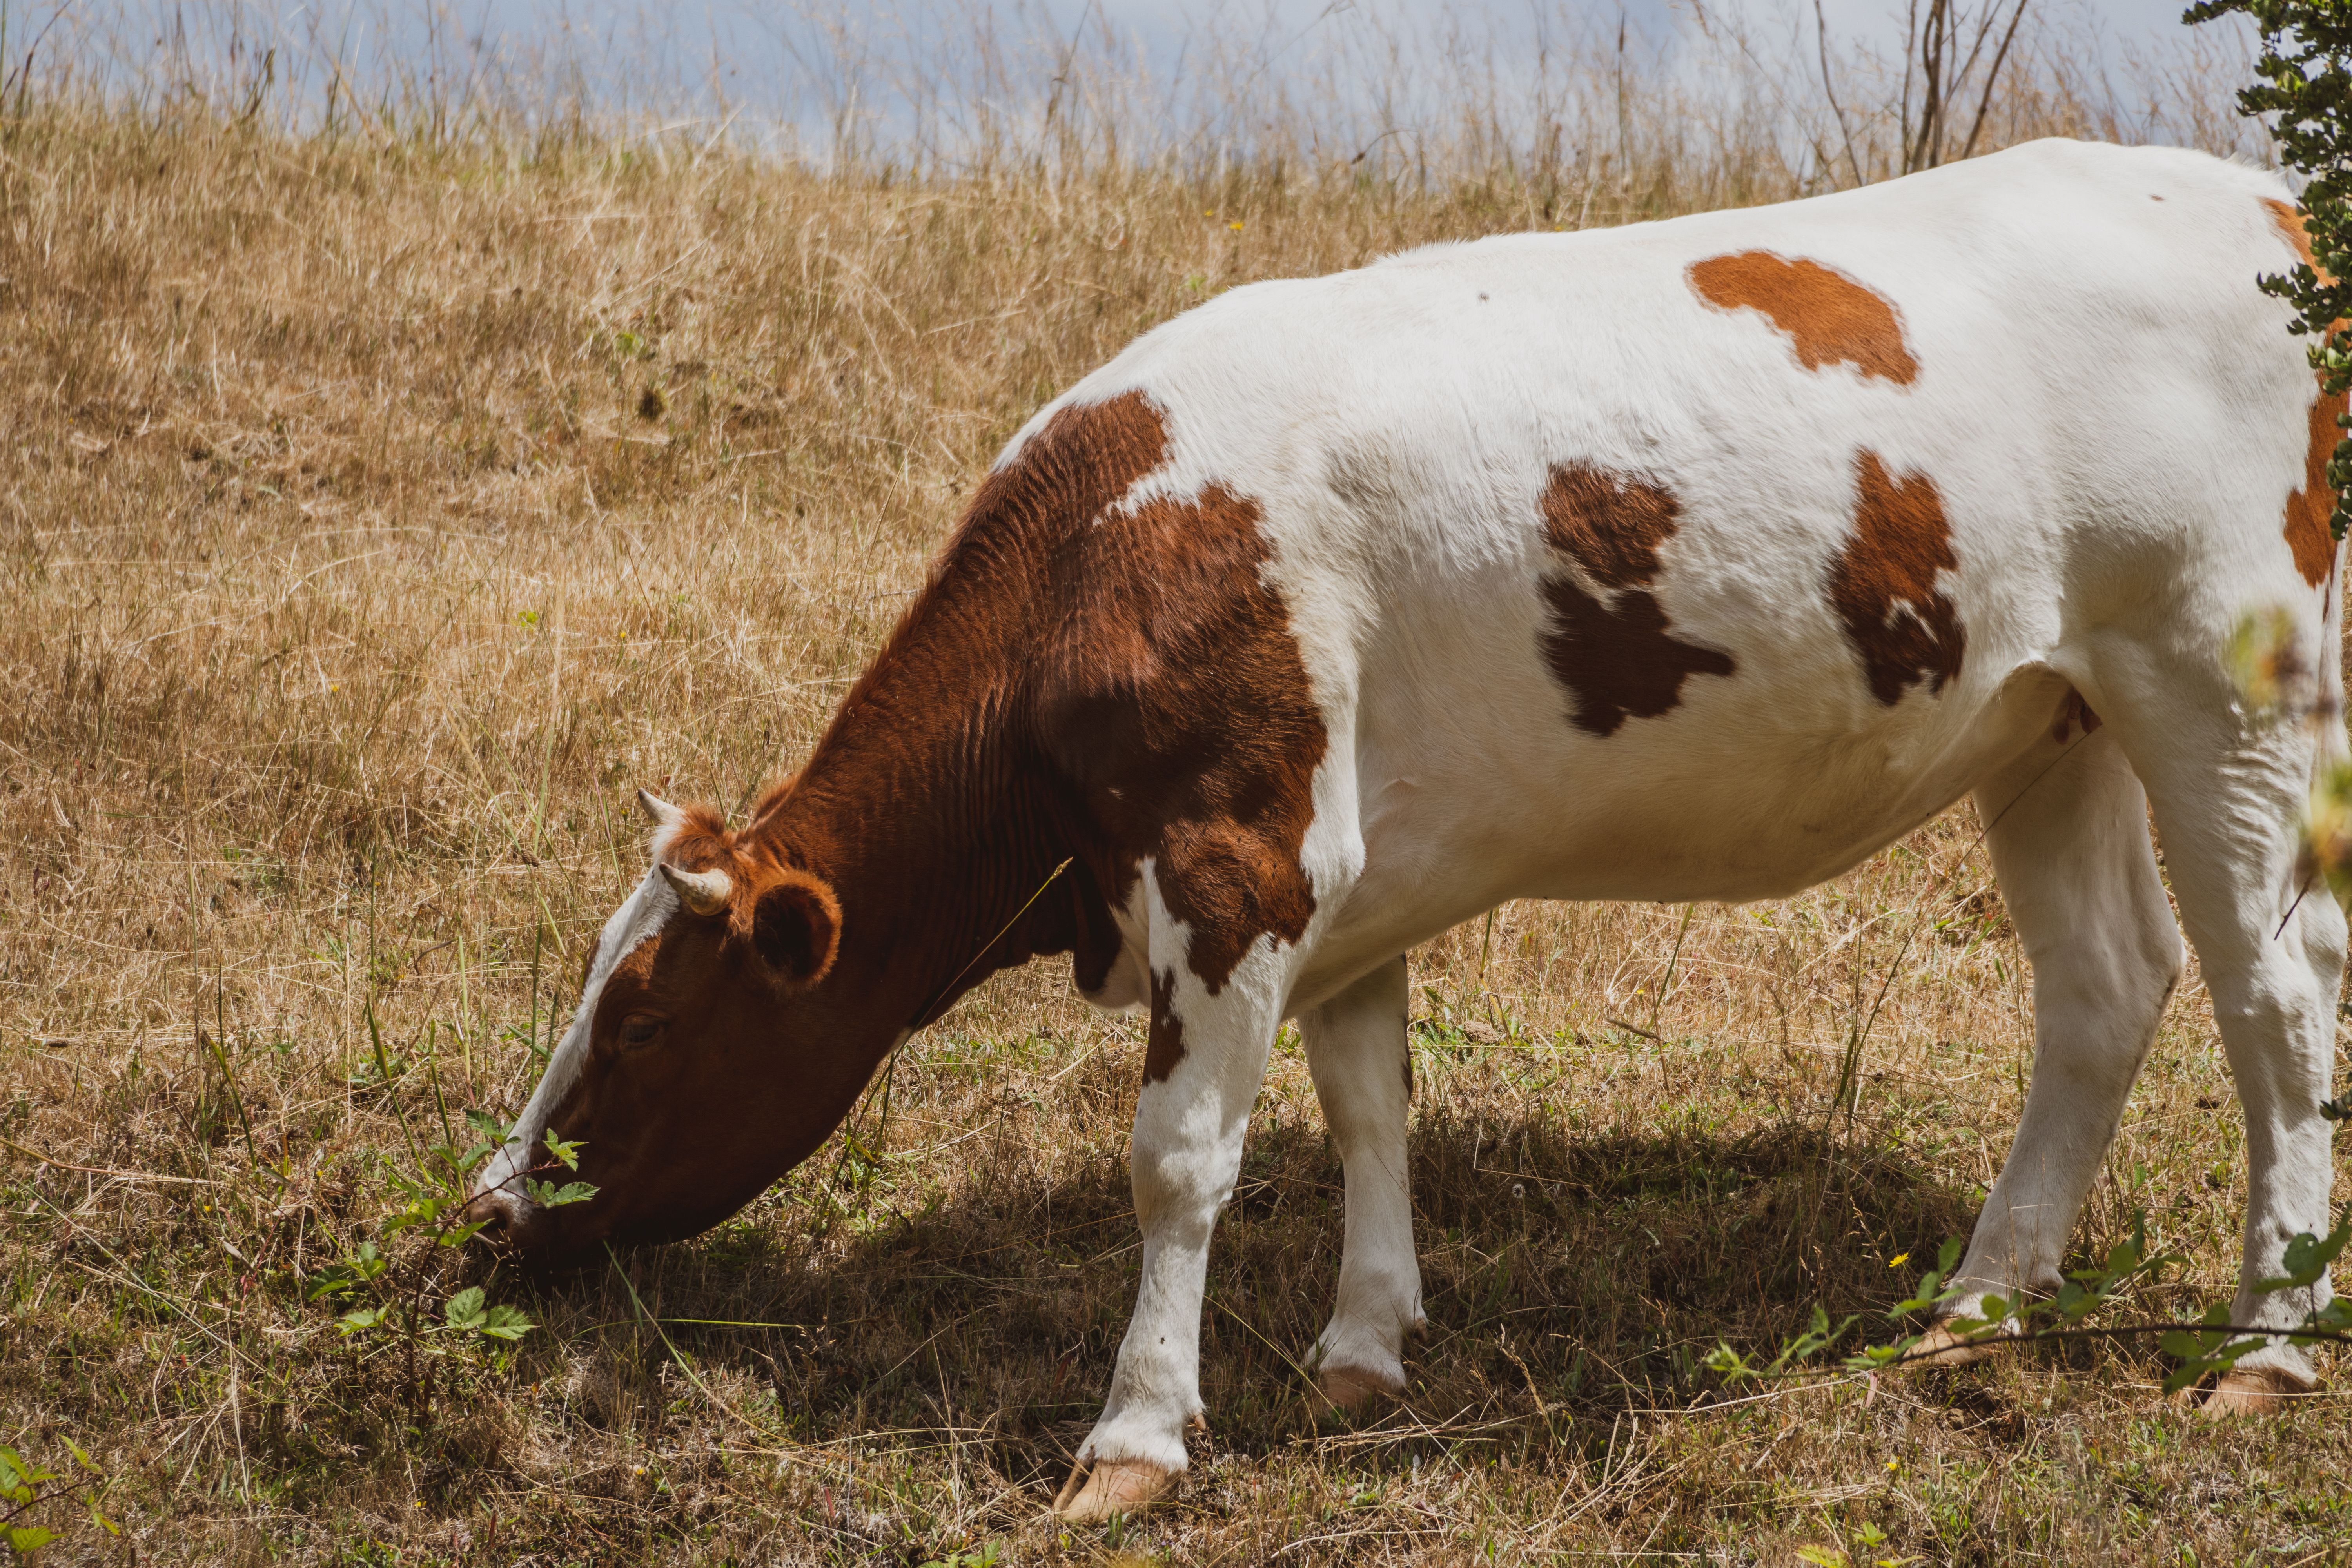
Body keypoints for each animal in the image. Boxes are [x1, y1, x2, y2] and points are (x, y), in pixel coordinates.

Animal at [470, 138, 2345, 1519]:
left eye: (639, 1024)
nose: (485, 1210)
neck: (1112, 540)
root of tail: (2250, 193)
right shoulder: (1342, 868)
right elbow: (1369, 1095)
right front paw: (1363, 1346)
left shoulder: (1233, 852)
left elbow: (1176, 1159)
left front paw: (1133, 1437)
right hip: (2049, 710)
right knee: (2100, 986)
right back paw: (1972, 1311)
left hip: (2226, 681)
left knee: (2275, 1000)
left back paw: (2263, 1343)